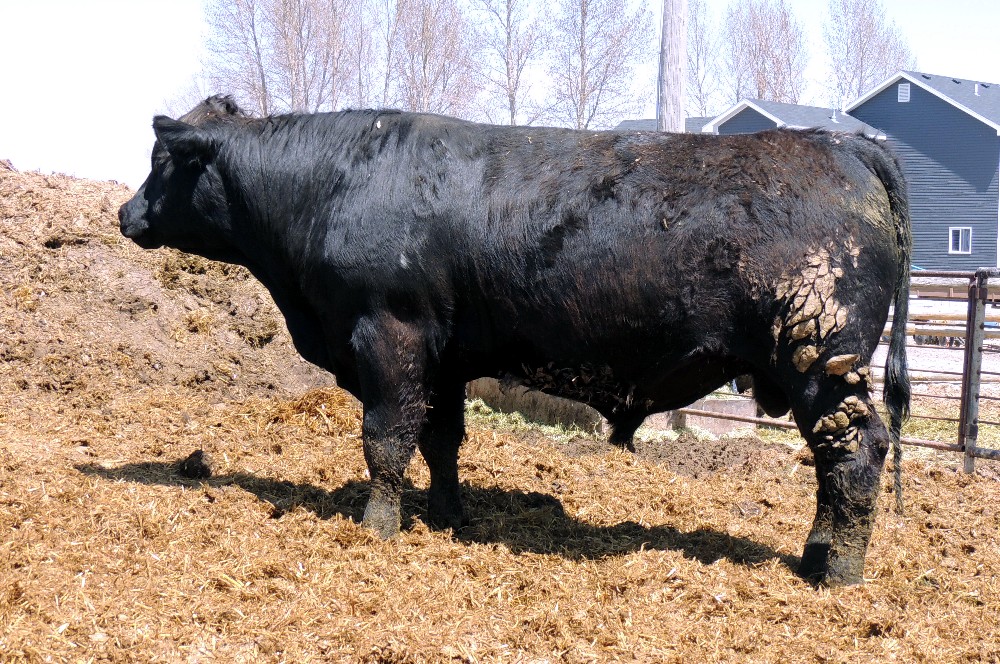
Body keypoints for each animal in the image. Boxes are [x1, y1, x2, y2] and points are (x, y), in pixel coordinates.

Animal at [119, 96, 911, 586]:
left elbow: (385, 439)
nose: (126, 214)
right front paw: (447, 516)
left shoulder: (388, 336)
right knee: (833, 458)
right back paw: (815, 553)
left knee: (857, 450)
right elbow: (440, 440)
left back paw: (837, 570)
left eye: (160, 163)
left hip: (822, 357)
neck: (334, 183)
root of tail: (844, 146)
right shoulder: (442, 358)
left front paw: (378, 528)